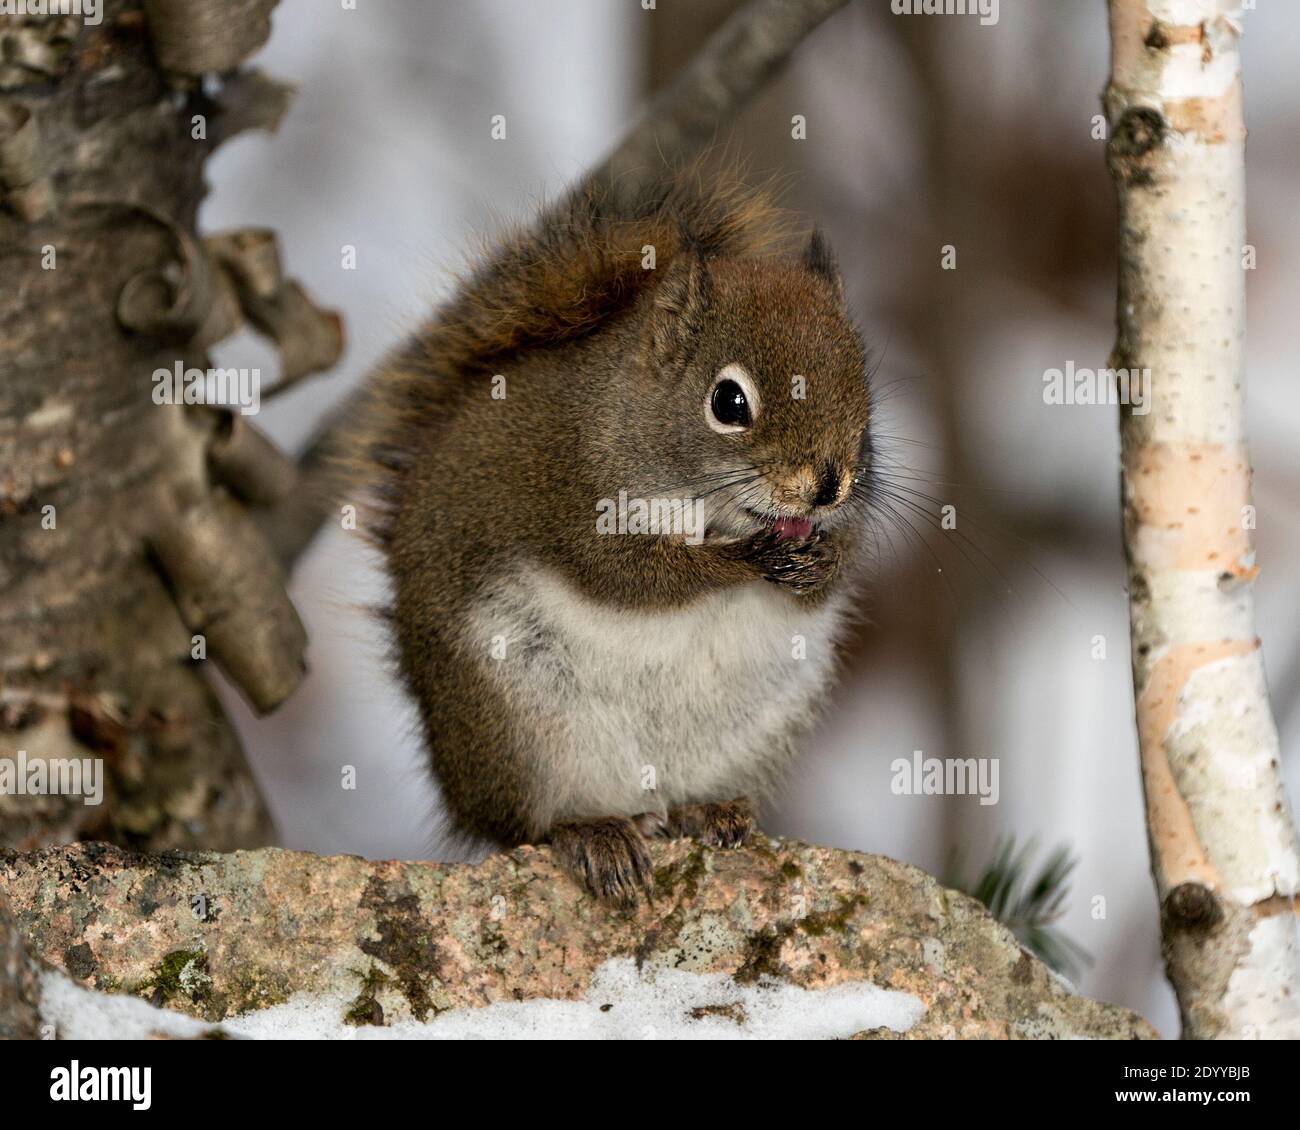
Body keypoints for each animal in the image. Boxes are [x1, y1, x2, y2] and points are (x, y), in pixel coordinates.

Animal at [345, 166, 874, 903]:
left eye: (862, 385)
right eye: (729, 402)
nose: (827, 485)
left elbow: (831, 575)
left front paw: (819, 561)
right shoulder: (575, 501)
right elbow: (633, 578)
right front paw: (738, 561)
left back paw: (707, 811)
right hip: (524, 731)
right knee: (529, 826)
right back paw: (592, 833)